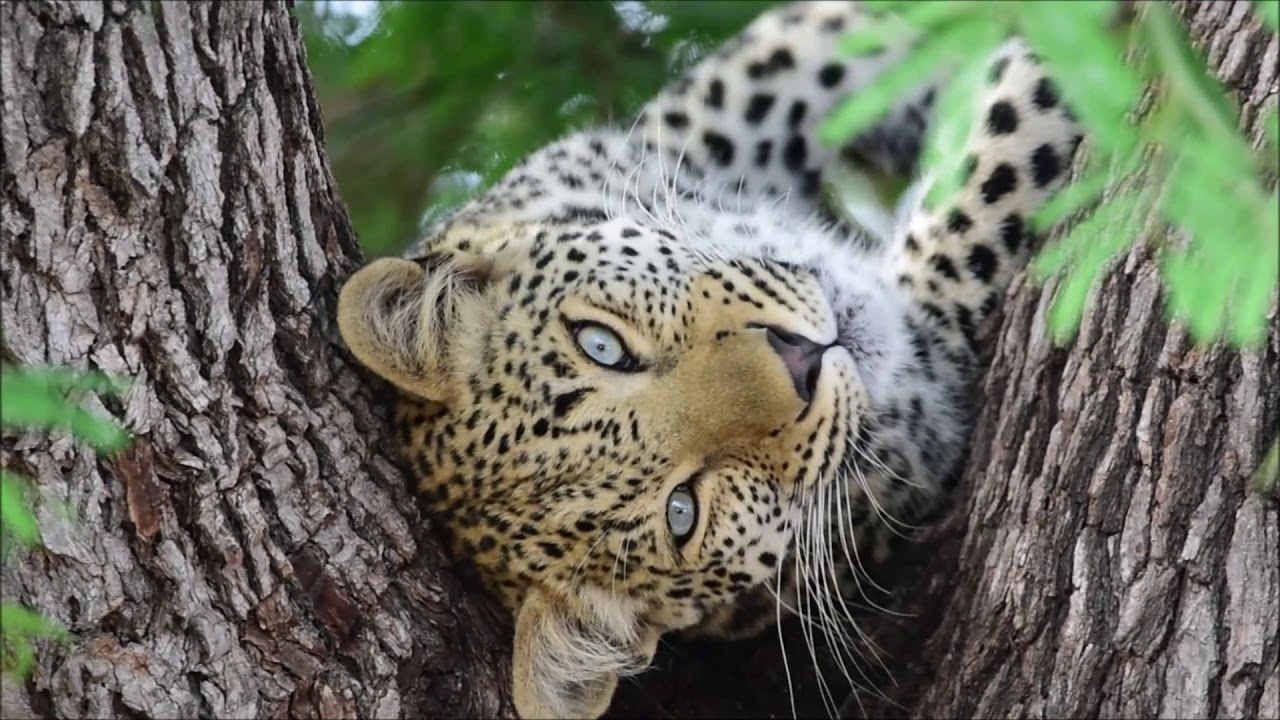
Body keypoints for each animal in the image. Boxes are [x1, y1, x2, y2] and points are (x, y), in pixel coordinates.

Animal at [336, 2, 1084, 717]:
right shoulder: (926, 401)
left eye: (602, 344)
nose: (801, 358)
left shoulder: (705, 113)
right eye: (683, 511)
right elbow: (994, 180)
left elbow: (846, 37)